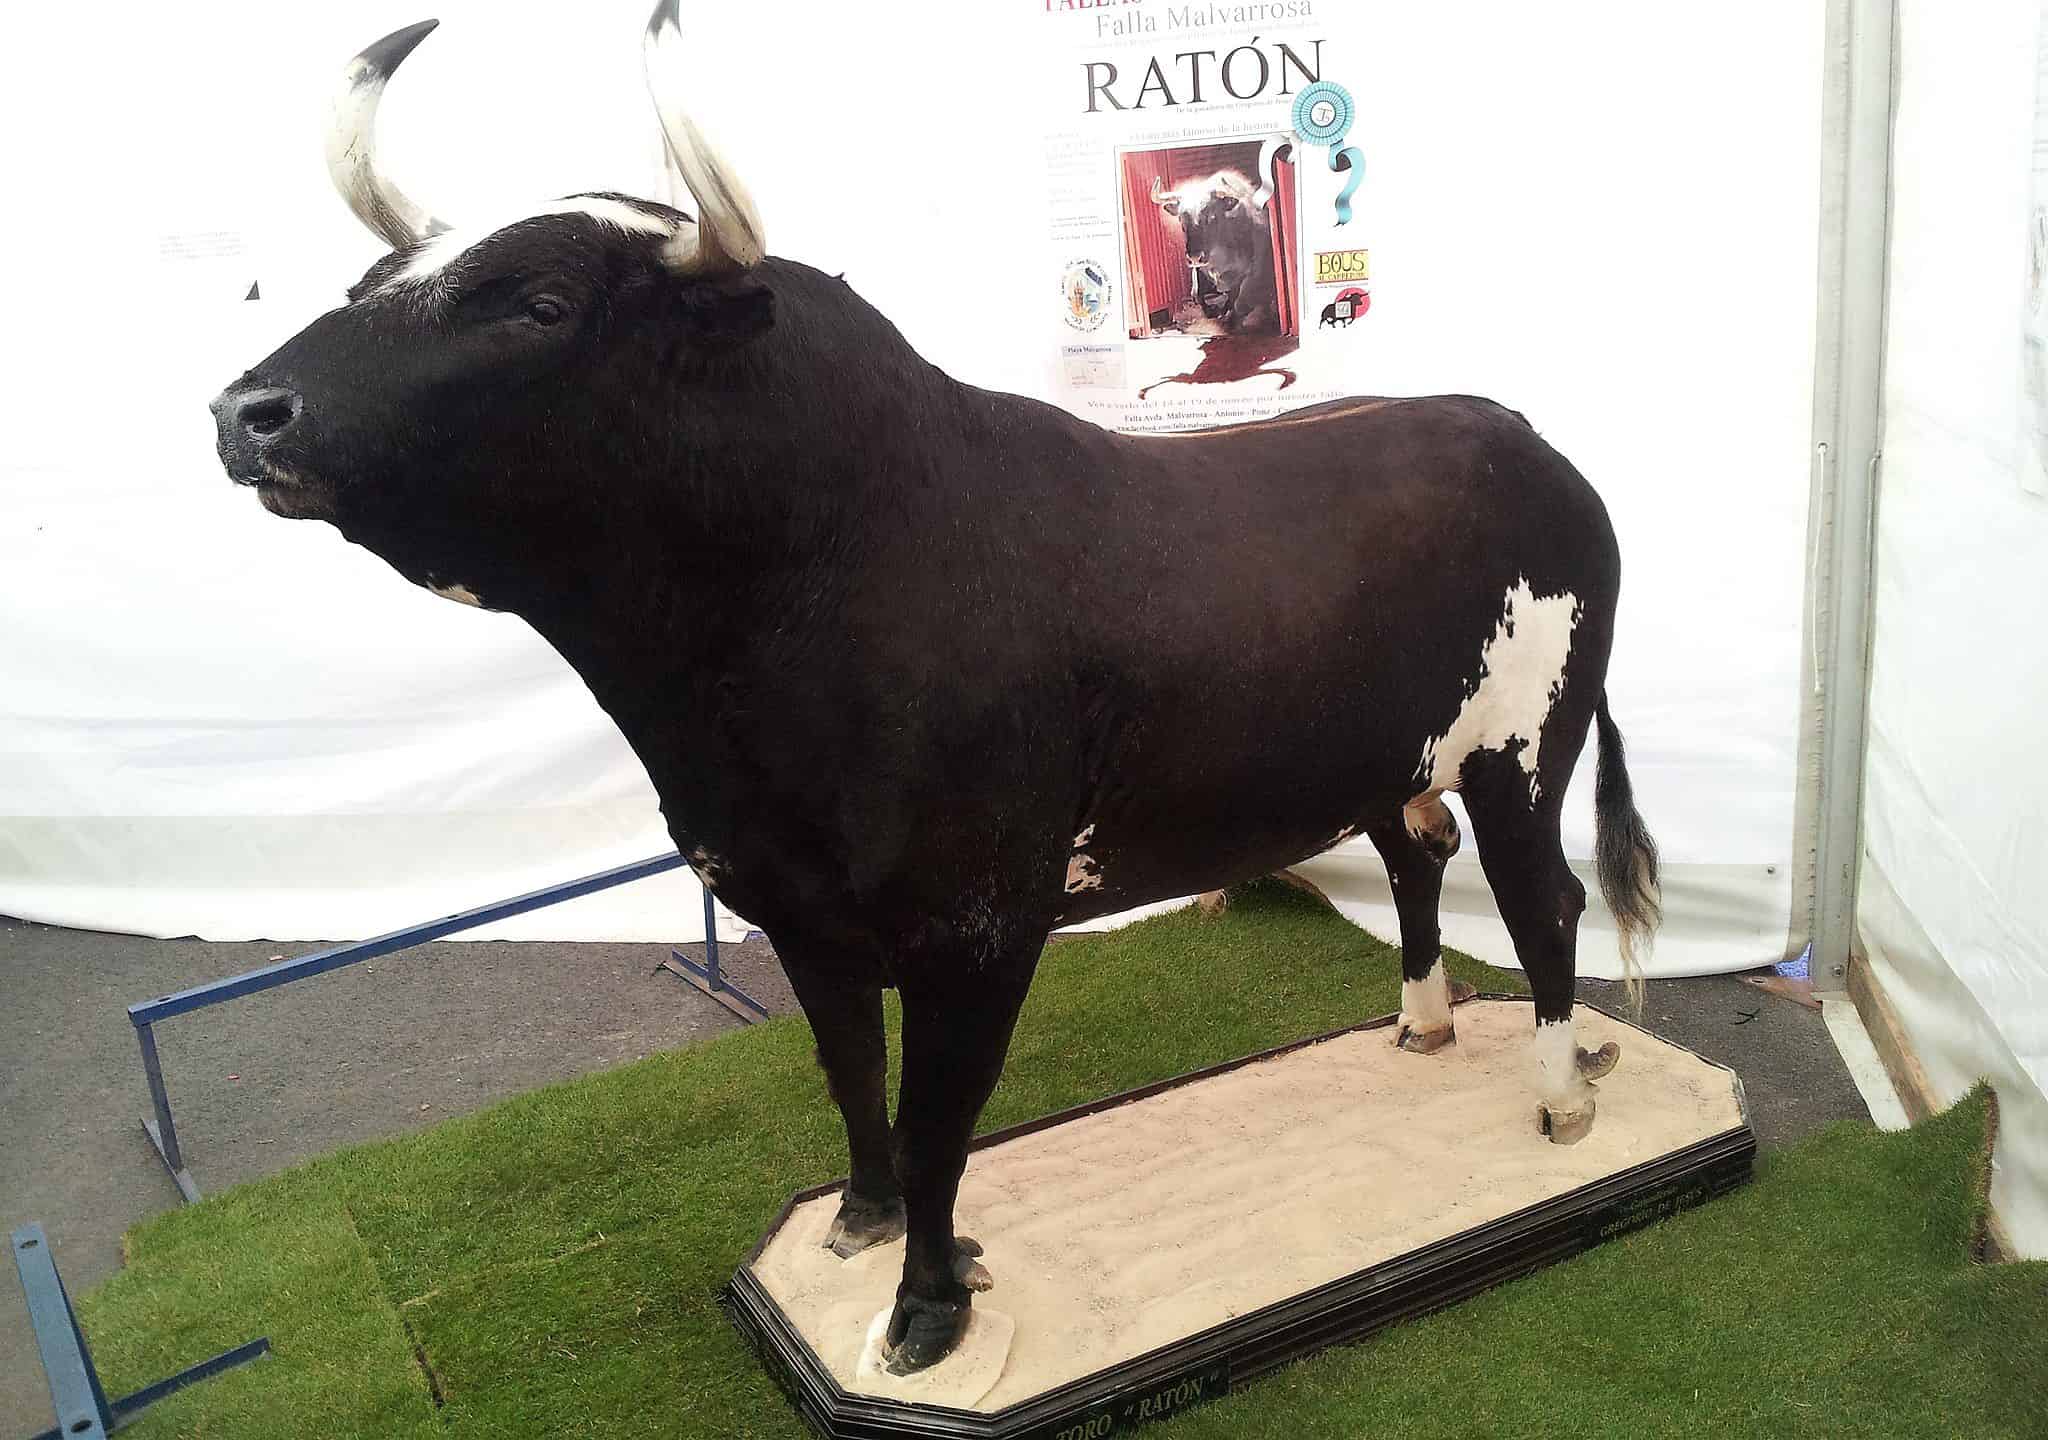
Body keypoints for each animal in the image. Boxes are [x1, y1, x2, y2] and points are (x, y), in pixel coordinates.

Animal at [1150, 170, 1279, 334]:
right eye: (1181, 219)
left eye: (1211, 217)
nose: (1194, 257)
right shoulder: (1200, 270)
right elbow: (1196, 293)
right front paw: (1215, 311)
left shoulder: (1252, 274)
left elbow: (1240, 301)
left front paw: (1230, 320)